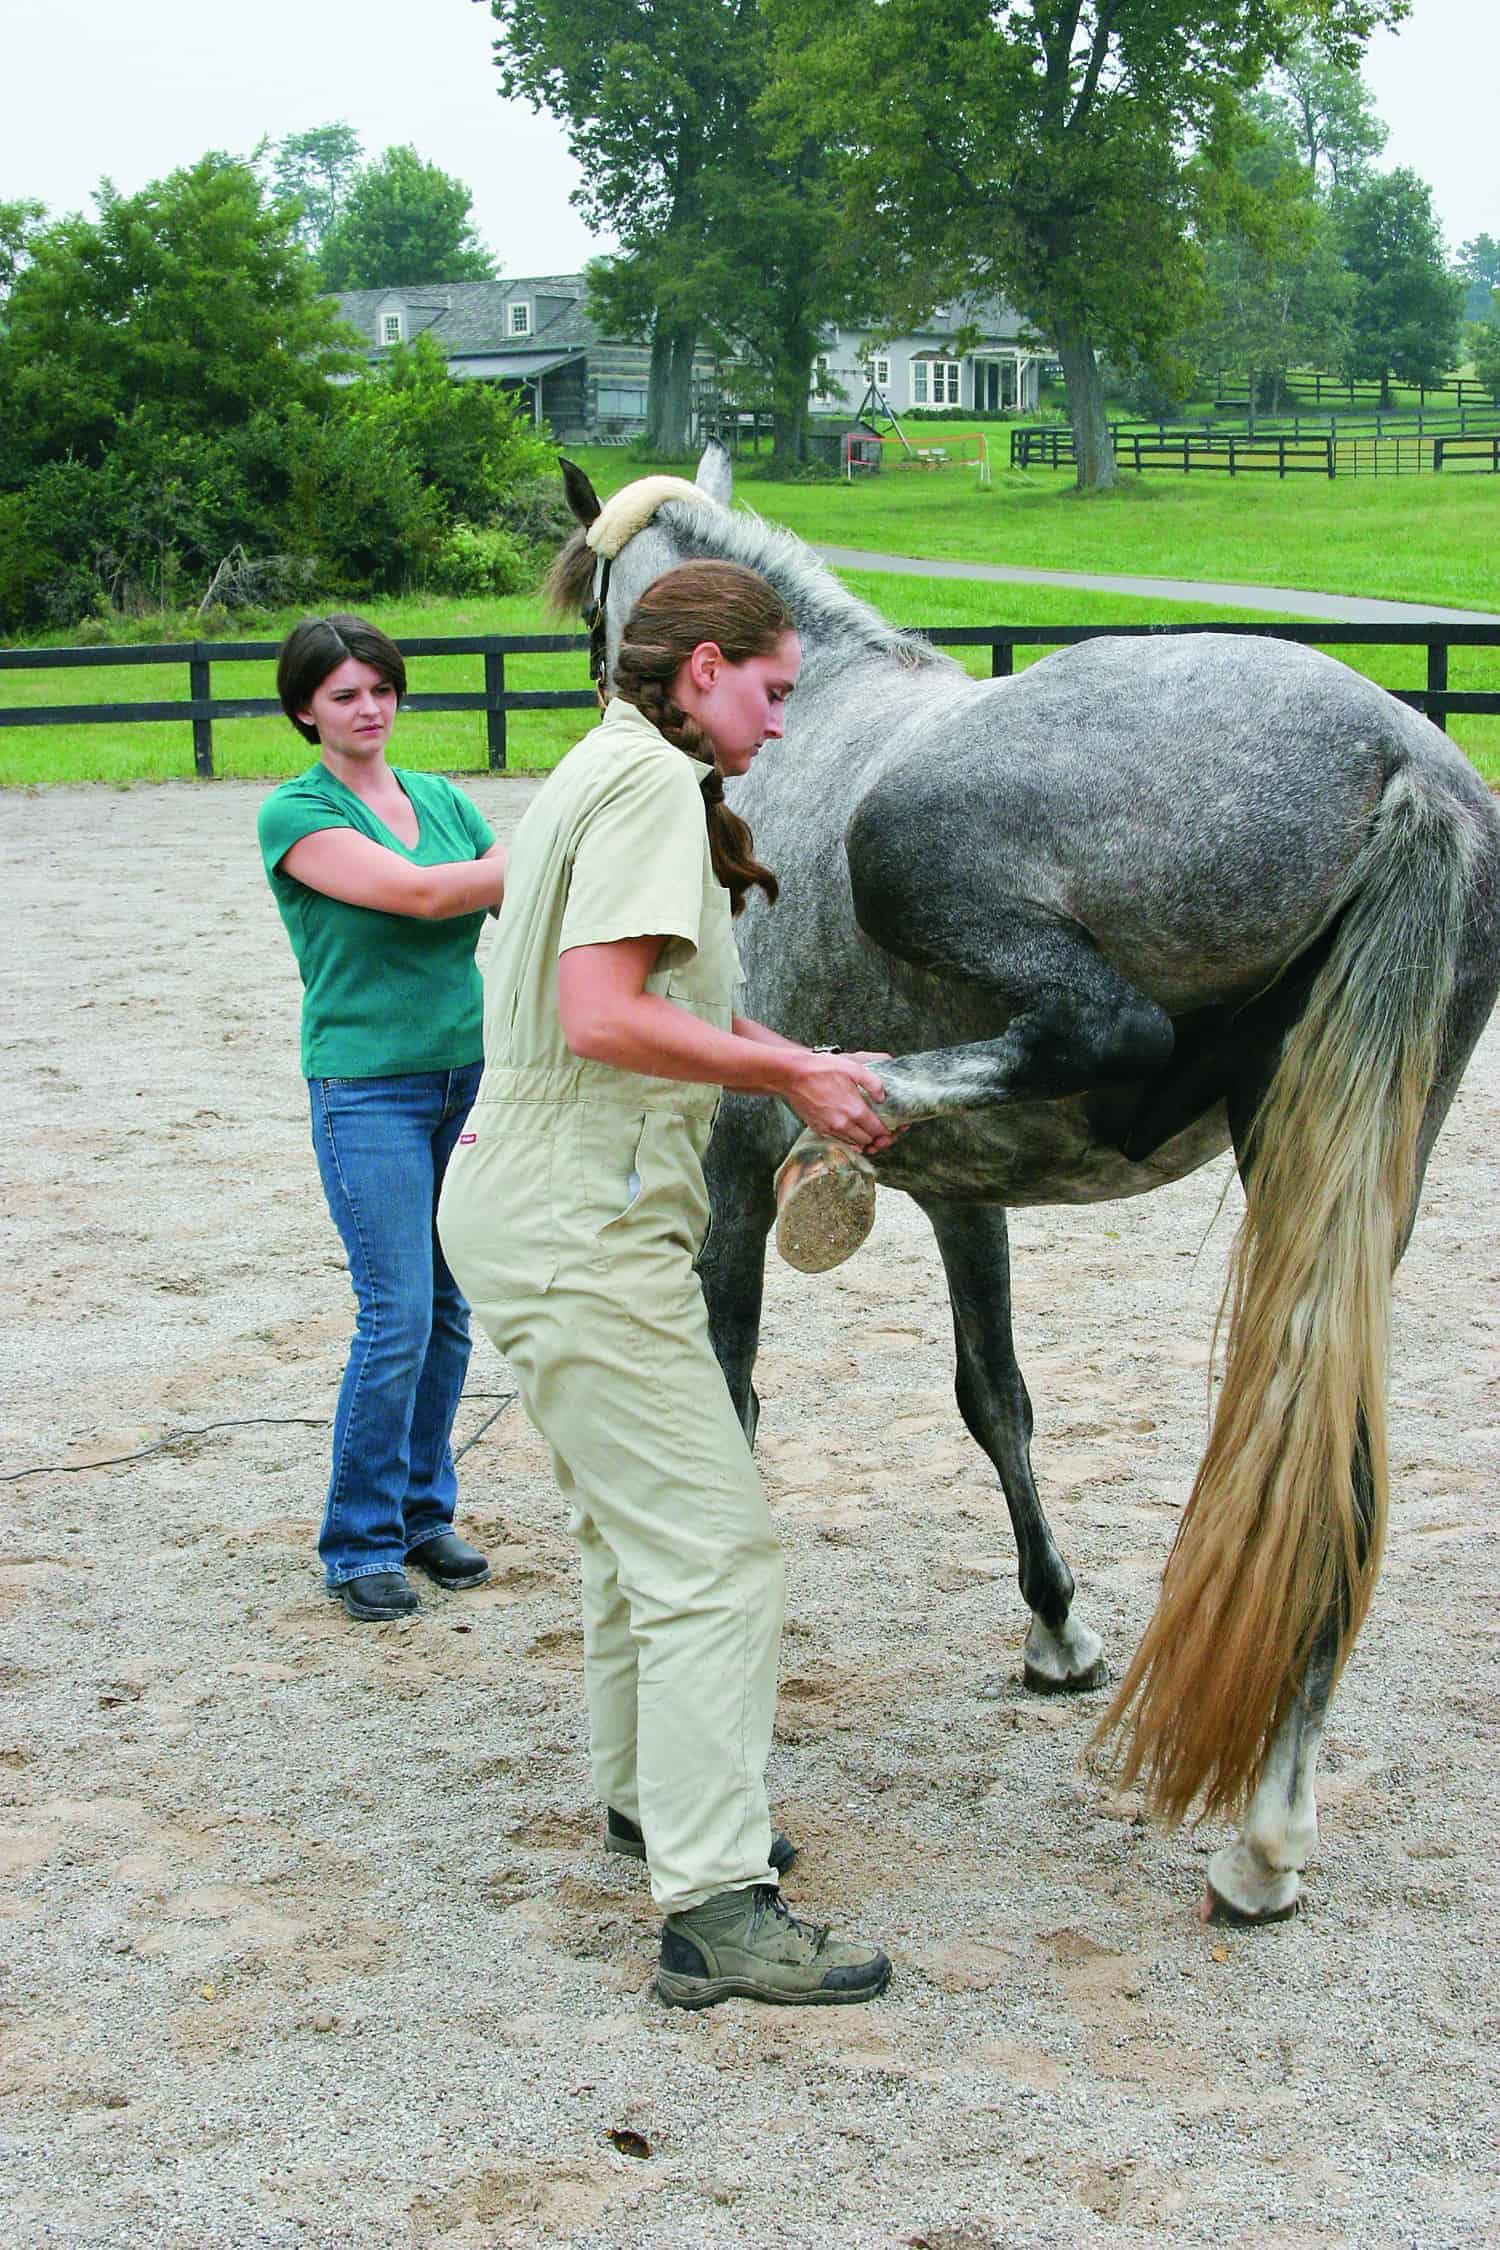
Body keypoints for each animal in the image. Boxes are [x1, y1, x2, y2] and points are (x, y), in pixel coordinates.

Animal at [547, 444, 1500, 1924]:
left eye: (588, 620)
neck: (816, 711)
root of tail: (1399, 760)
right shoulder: (967, 1199)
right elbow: (995, 1397)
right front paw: (1058, 1627)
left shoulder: (732, 1183)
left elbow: (732, 1408)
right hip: (1349, 1178)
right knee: (1328, 1486)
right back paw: (1270, 1841)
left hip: (934, 877)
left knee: (1107, 1032)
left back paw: (870, 1091)